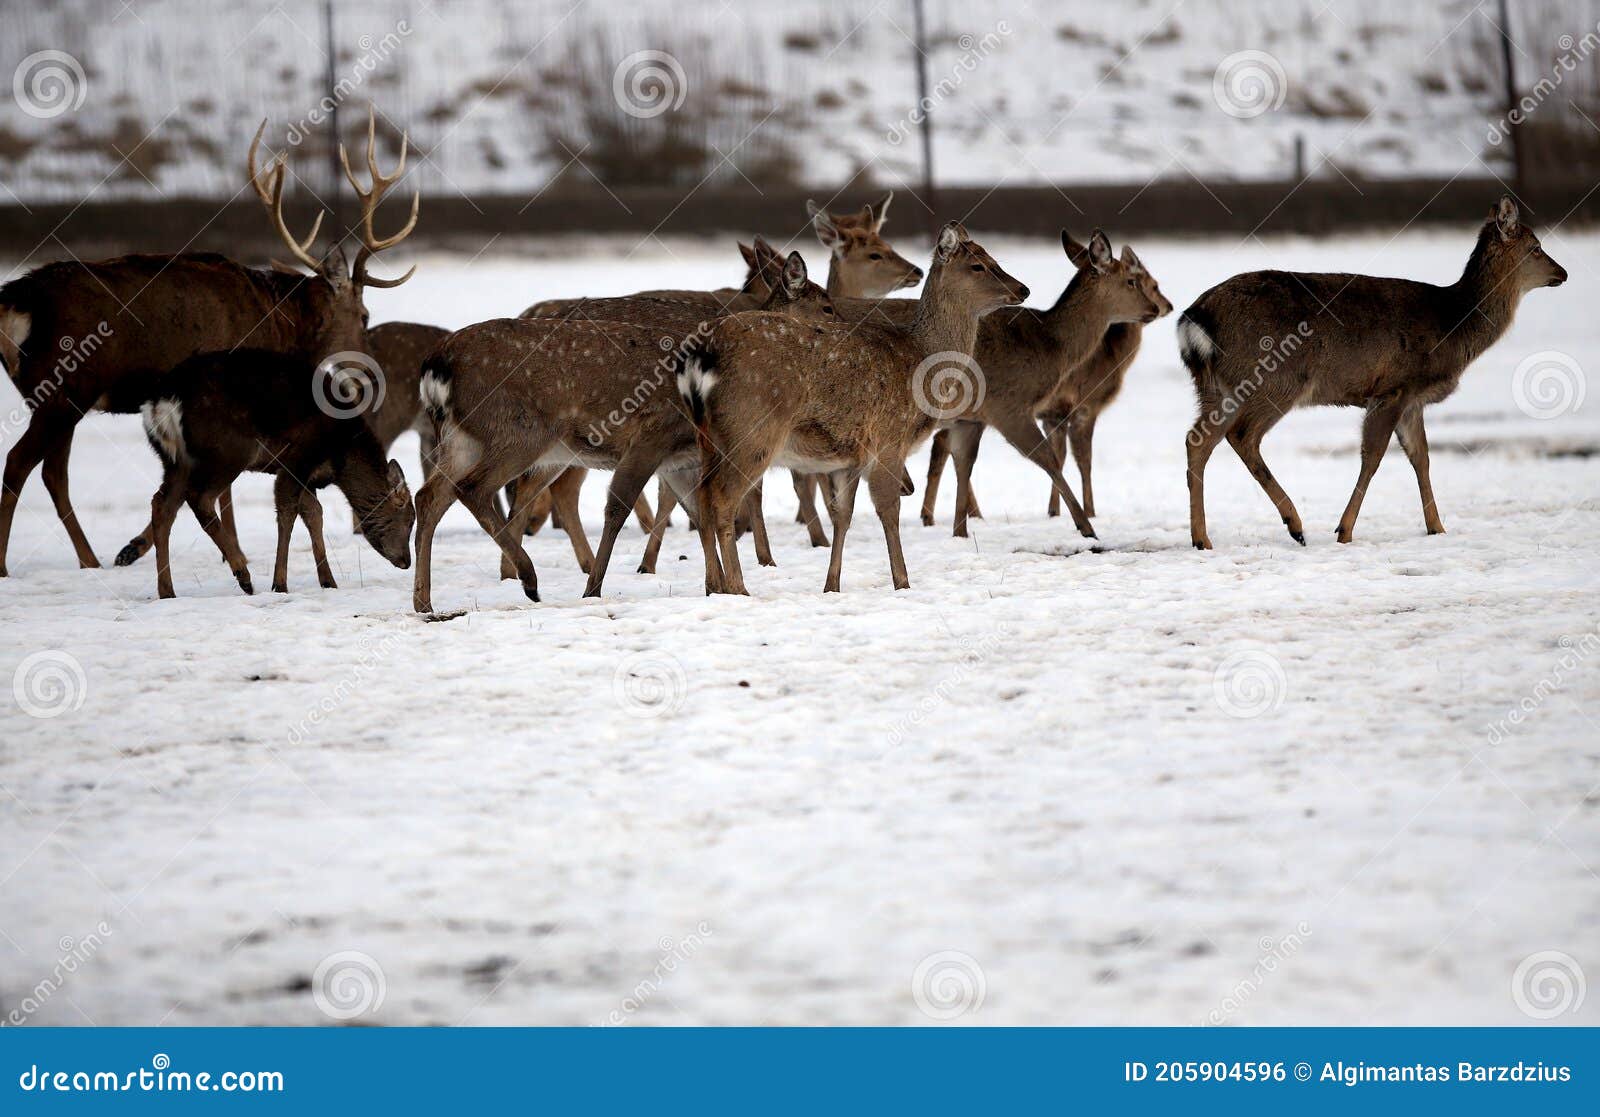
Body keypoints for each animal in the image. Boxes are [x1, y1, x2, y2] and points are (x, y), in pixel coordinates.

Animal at [139, 350, 415, 599]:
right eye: (410, 520)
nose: (406, 561)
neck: (341, 454)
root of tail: (161, 402)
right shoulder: (296, 459)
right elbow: (287, 513)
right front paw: (280, 584)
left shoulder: (305, 474)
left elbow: (314, 514)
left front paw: (328, 581)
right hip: (228, 451)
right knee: (199, 498)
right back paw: (243, 575)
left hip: (175, 460)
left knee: (162, 504)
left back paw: (167, 591)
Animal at [410, 250, 838, 614]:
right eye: (827, 307)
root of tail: (436, 364)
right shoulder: (652, 434)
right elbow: (619, 507)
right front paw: (593, 588)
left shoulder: (680, 458)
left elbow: (699, 512)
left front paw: (714, 586)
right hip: (518, 431)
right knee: (473, 489)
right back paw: (529, 579)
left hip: (464, 439)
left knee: (429, 496)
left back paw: (424, 601)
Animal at [678, 223, 1028, 596]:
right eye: (978, 266)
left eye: (994, 259)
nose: (1023, 289)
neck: (920, 360)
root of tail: (700, 357)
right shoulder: (889, 437)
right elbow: (888, 509)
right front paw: (902, 581)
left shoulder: (849, 457)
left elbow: (842, 515)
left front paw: (831, 584)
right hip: (753, 430)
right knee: (722, 498)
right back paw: (738, 587)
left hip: (707, 437)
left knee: (702, 495)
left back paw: (713, 585)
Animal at [912, 232, 1172, 537]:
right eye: (1133, 281)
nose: (1155, 308)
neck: (1050, 346)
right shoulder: (1010, 406)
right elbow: (1055, 459)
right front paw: (1086, 525)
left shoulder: (977, 417)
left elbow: (968, 462)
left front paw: (961, 533)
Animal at [1179, 196, 1566, 550]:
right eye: (1536, 247)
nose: (1562, 273)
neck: (1452, 325)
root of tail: (1195, 318)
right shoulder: (1394, 387)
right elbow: (1374, 456)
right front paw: (1345, 531)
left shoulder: (1413, 399)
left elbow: (1421, 457)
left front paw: (1437, 528)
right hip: (1275, 379)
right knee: (1242, 436)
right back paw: (1294, 525)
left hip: (1215, 386)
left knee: (1197, 439)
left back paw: (1202, 538)